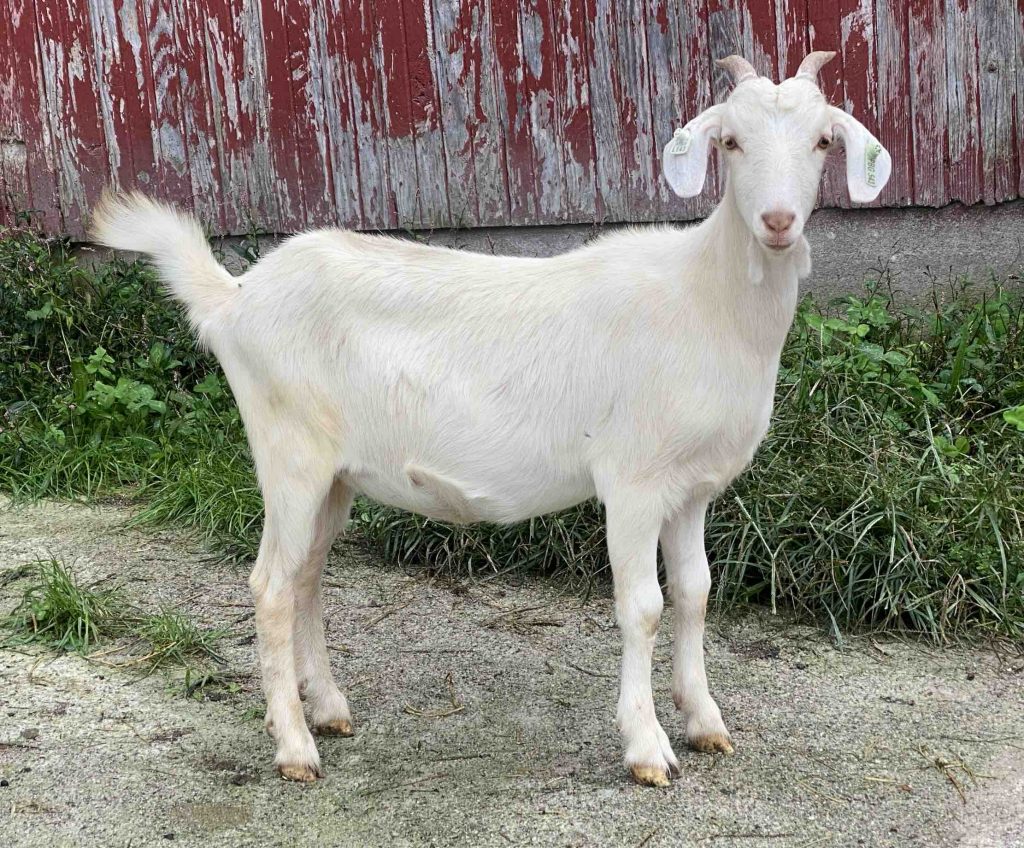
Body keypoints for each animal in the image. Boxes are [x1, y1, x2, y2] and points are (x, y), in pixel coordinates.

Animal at [90, 51, 891, 787]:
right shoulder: (633, 480)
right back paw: (294, 746)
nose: (779, 222)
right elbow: (644, 605)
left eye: (824, 140)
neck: (707, 299)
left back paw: (329, 709)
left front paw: (705, 722)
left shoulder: (692, 488)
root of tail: (236, 297)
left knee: (308, 574)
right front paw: (646, 748)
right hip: (289, 452)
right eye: (730, 141)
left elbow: (695, 594)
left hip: (336, 474)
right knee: (270, 586)